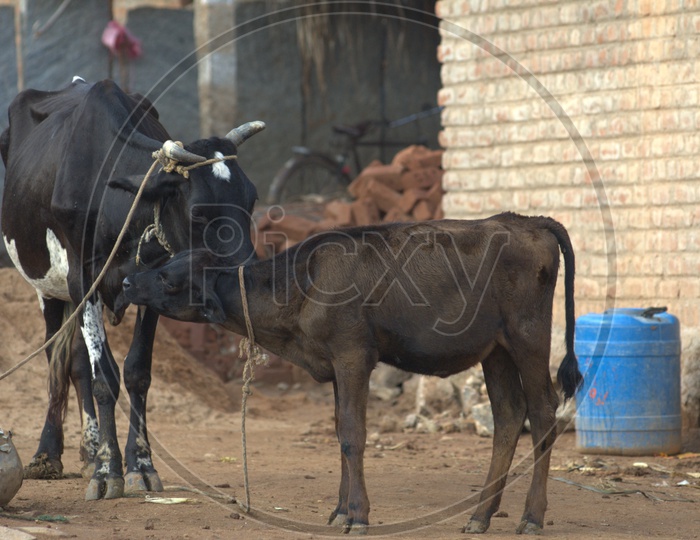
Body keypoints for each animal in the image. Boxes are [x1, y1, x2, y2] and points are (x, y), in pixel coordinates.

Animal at [0, 78, 263, 500]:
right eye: (198, 212)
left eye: (251, 200)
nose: (247, 277)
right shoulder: (81, 279)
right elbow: (104, 378)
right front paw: (108, 472)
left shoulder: (153, 278)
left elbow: (137, 371)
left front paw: (140, 465)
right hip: (47, 287)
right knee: (59, 360)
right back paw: (48, 455)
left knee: (76, 360)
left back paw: (89, 449)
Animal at [121, 212, 583, 534]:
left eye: (168, 277)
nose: (126, 282)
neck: (301, 287)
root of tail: (526, 221)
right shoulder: (333, 365)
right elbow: (339, 432)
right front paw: (339, 510)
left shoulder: (352, 355)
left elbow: (352, 434)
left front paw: (357, 514)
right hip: (496, 349)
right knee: (508, 416)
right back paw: (480, 516)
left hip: (528, 336)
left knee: (543, 412)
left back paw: (531, 517)